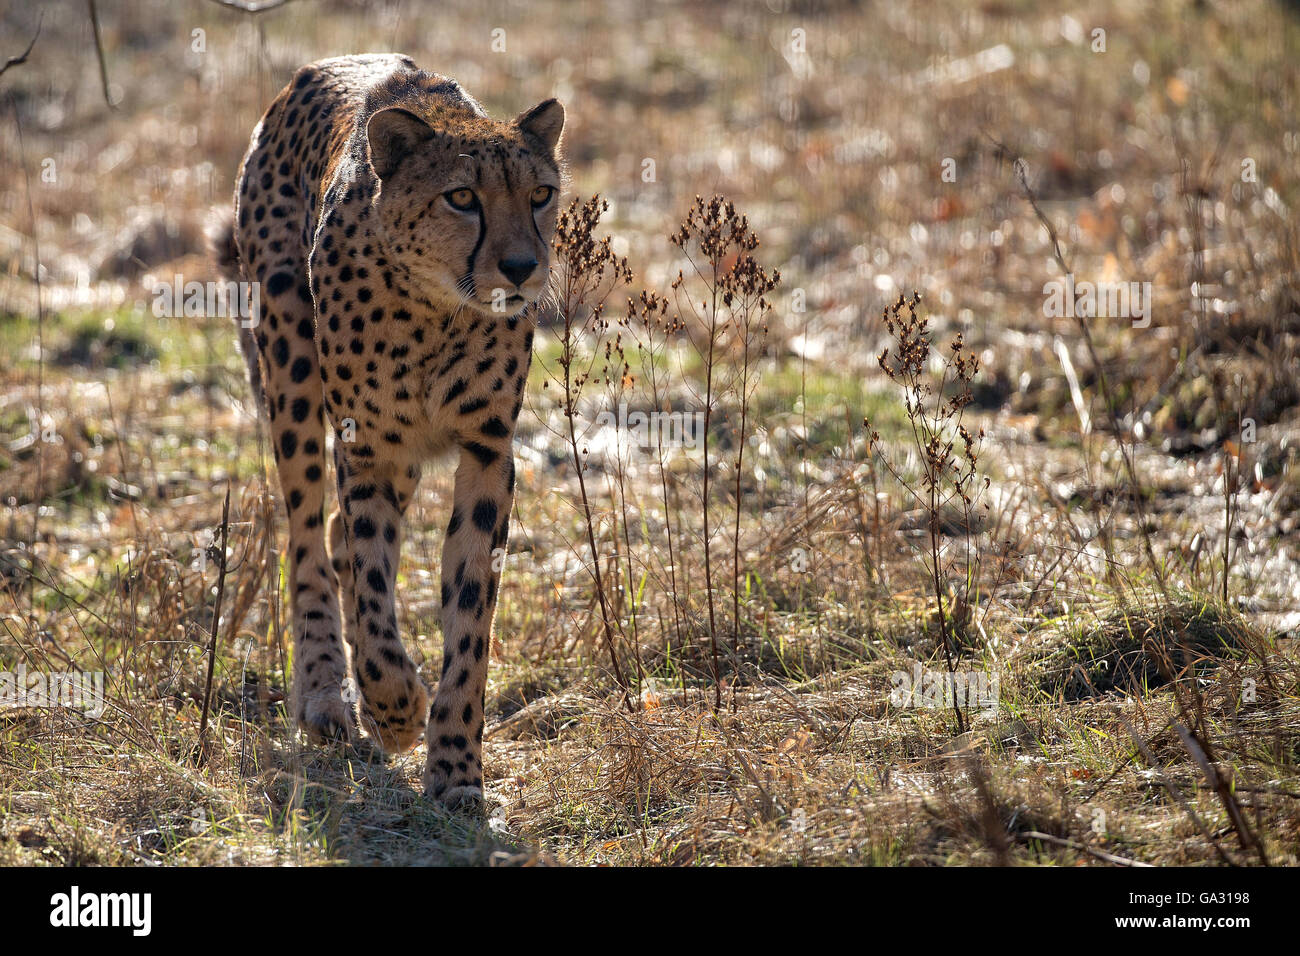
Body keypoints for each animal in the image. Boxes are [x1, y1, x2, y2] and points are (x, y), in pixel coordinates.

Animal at [210, 53, 564, 805]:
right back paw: (325, 695)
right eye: (462, 197)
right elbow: (372, 589)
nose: (523, 269)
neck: (436, 310)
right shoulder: (366, 448)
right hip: (290, 369)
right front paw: (396, 708)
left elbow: (470, 616)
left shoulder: (487, 452)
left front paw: (456, 767)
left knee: (335, 534)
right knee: (309, 537)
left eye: (542, 194)